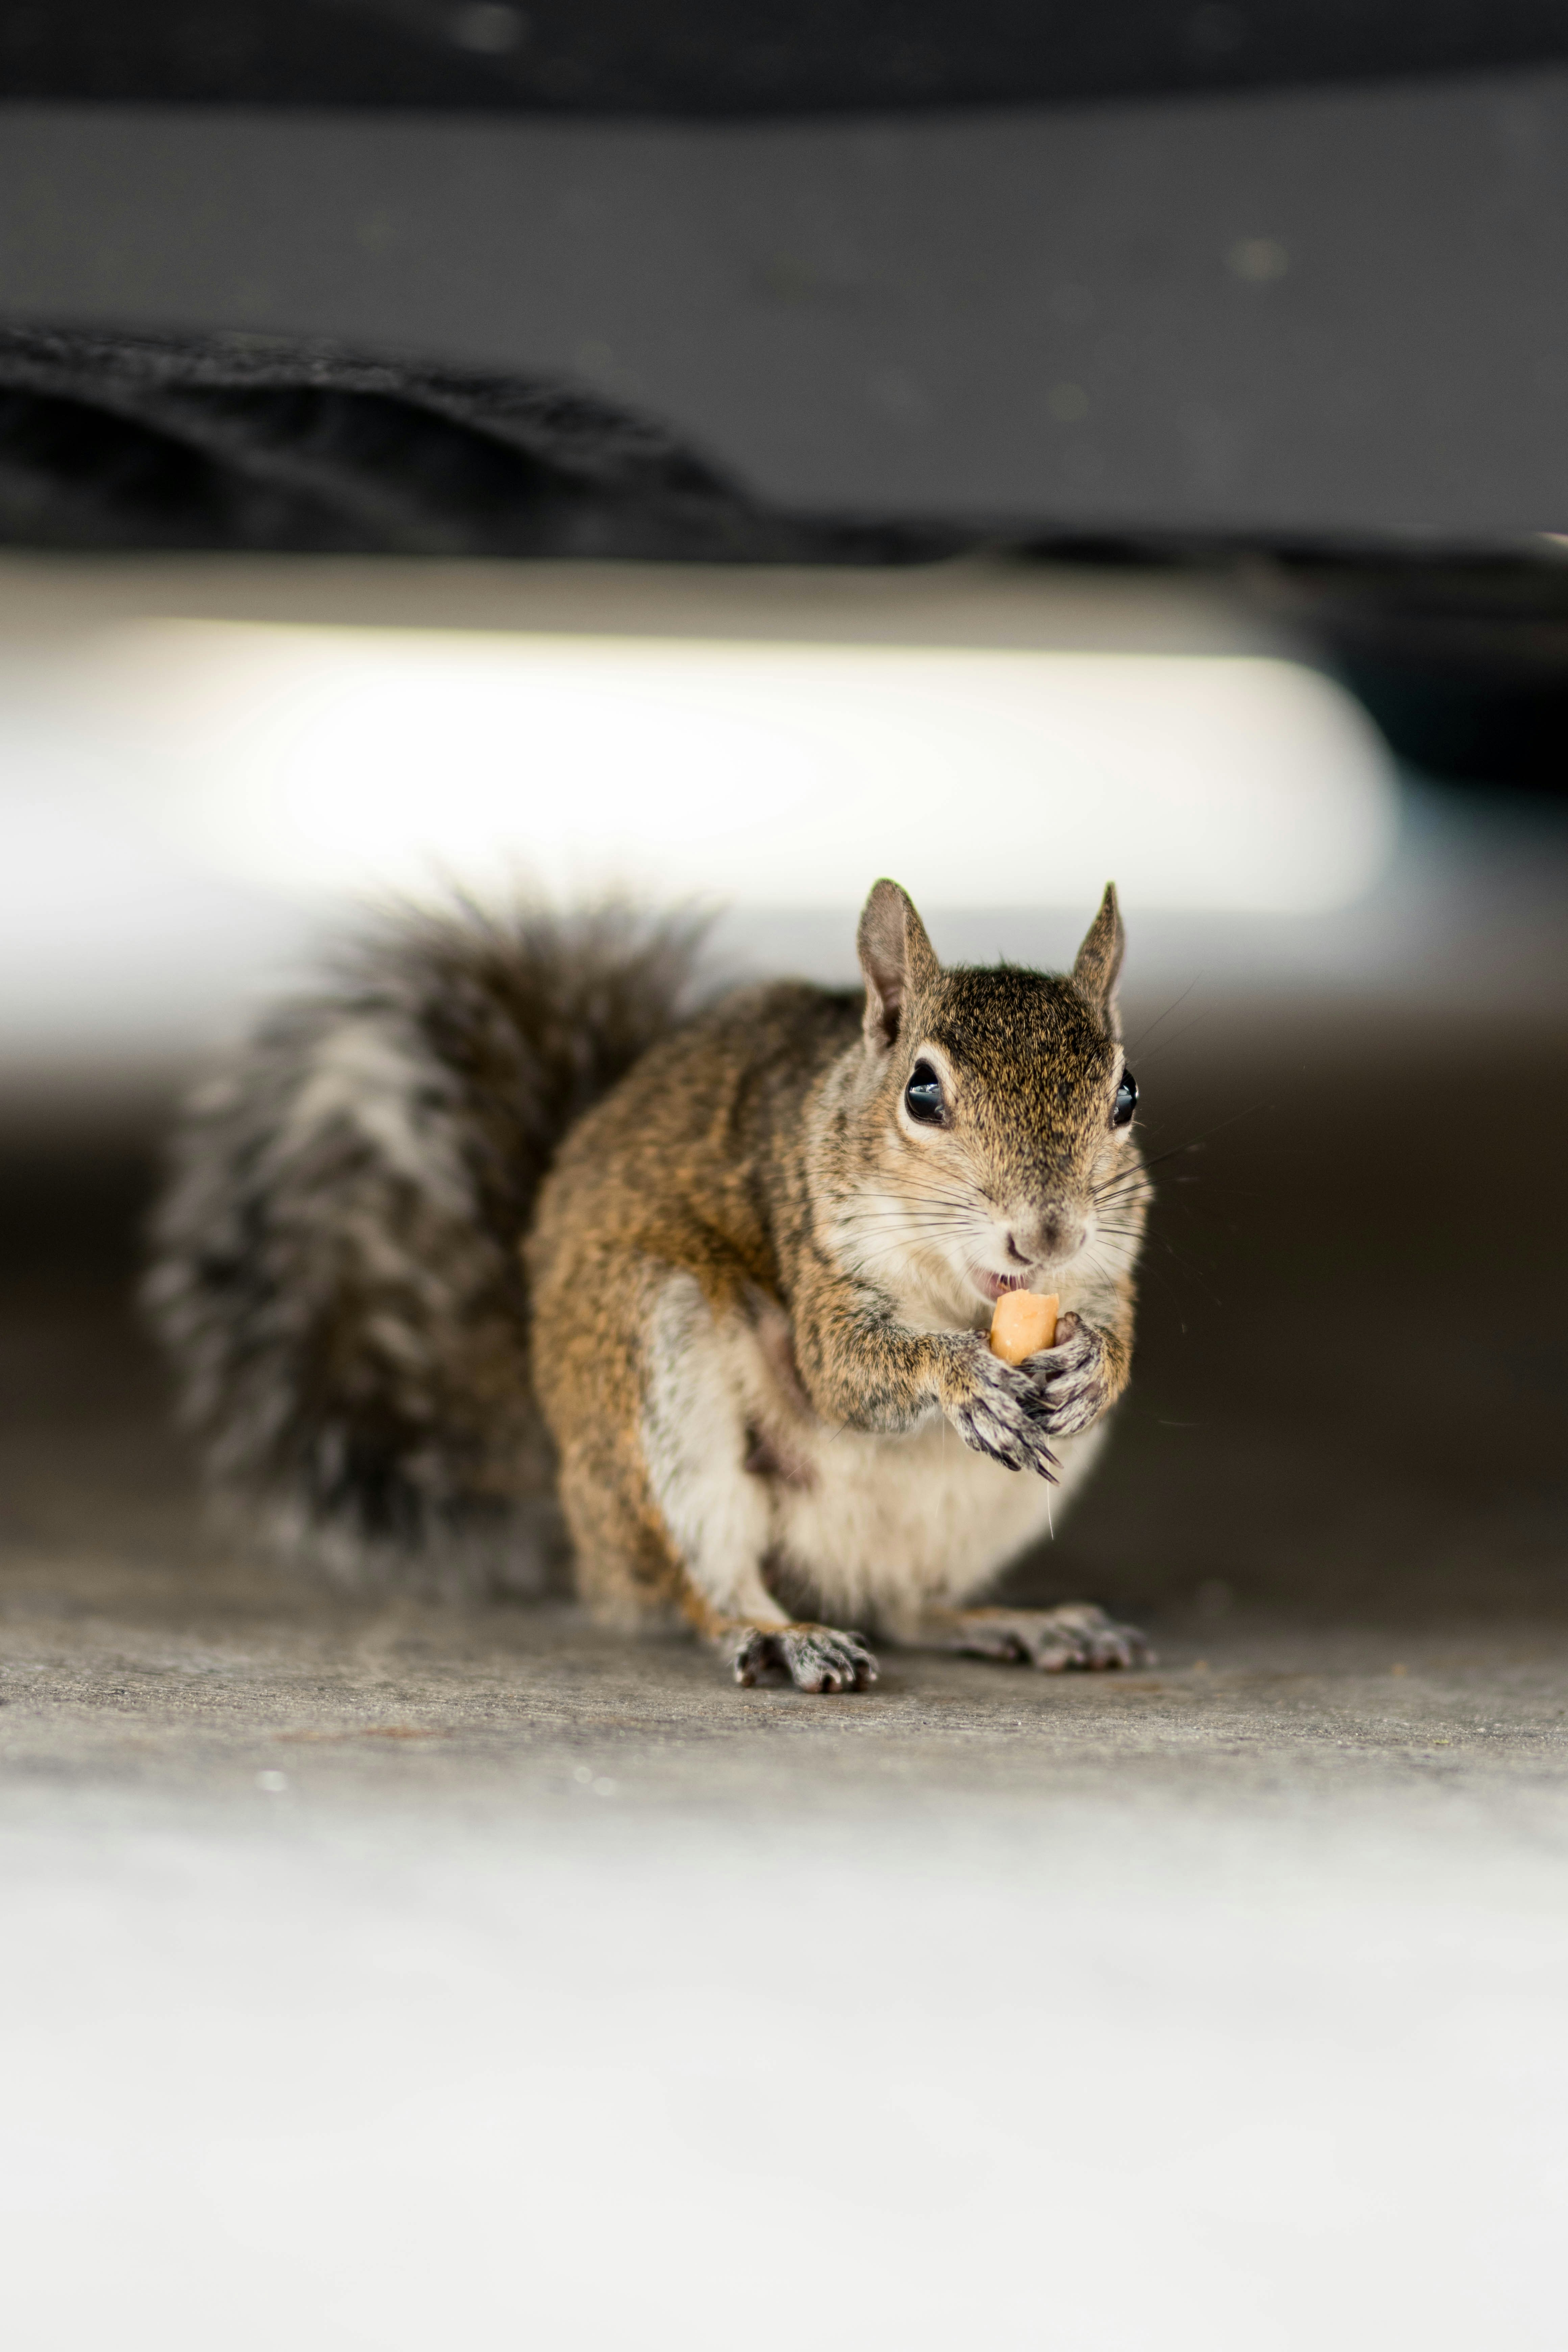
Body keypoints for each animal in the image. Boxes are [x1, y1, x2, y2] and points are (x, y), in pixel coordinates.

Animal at [149, 879, 1151, 1691]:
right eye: (922, 1093)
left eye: (1126, 1094)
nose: (1046, 1234)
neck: (963, 1295)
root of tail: (580, 1512)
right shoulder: (812, 1239)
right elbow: (841, 1373)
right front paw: (961, 1378)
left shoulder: (1109, 1265)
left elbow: (1114, 1331)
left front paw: (1094, 1365)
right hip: (661, 1384)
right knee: (708, 1585)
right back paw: (779, 1636)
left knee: (906, 1605)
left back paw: (1021, 1625)